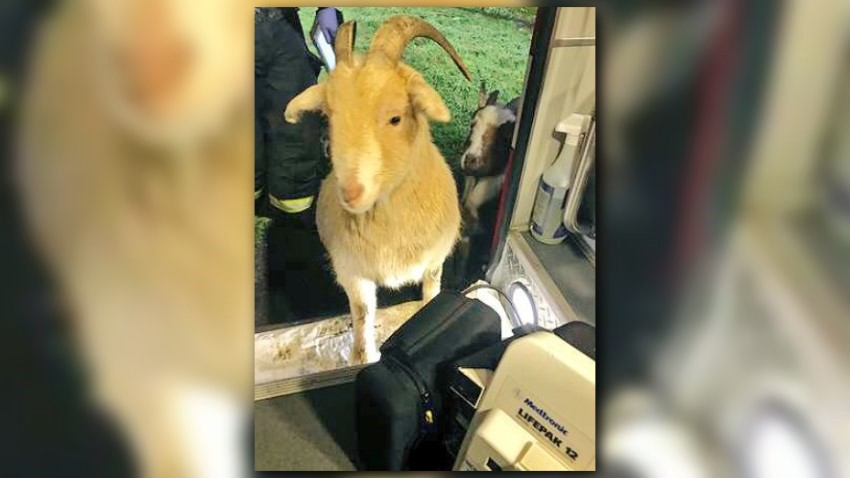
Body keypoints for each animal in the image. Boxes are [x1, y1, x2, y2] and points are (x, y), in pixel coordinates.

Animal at [284, 15, 471, 364]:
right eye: (328, 116)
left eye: (396, 117)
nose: (351, 192)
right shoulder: (352, 272)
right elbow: (361, 315)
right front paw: (364, 356)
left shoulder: (435, 260)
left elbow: (431, 296)